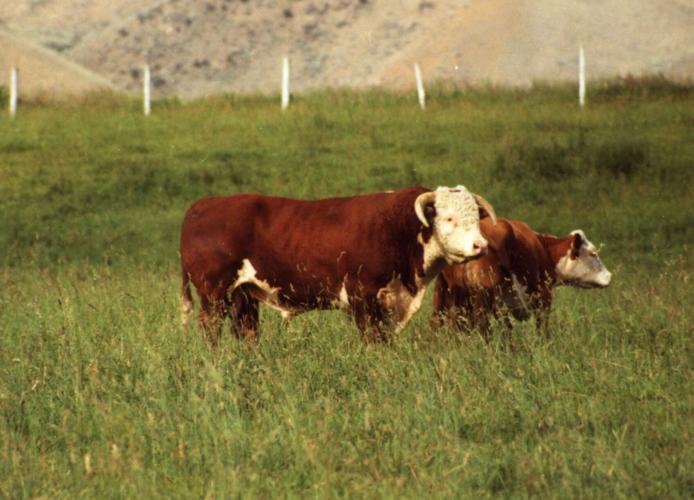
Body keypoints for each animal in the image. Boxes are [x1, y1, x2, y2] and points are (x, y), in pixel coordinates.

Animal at [180, 186, 496, 345]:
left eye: (476, 216)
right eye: (449, 218)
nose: (481, 245)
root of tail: (202, 205)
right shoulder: (363, 297)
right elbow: (372, 339)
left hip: (243, 294)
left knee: (246, 331)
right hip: (214, 291)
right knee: (210, 327)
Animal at [432, 217, 612, 337]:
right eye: (593, 253)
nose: (609, 276)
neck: (544, 249)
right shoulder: (543, 295)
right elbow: (542, 327)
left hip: (453, 295)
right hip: (484, 295)